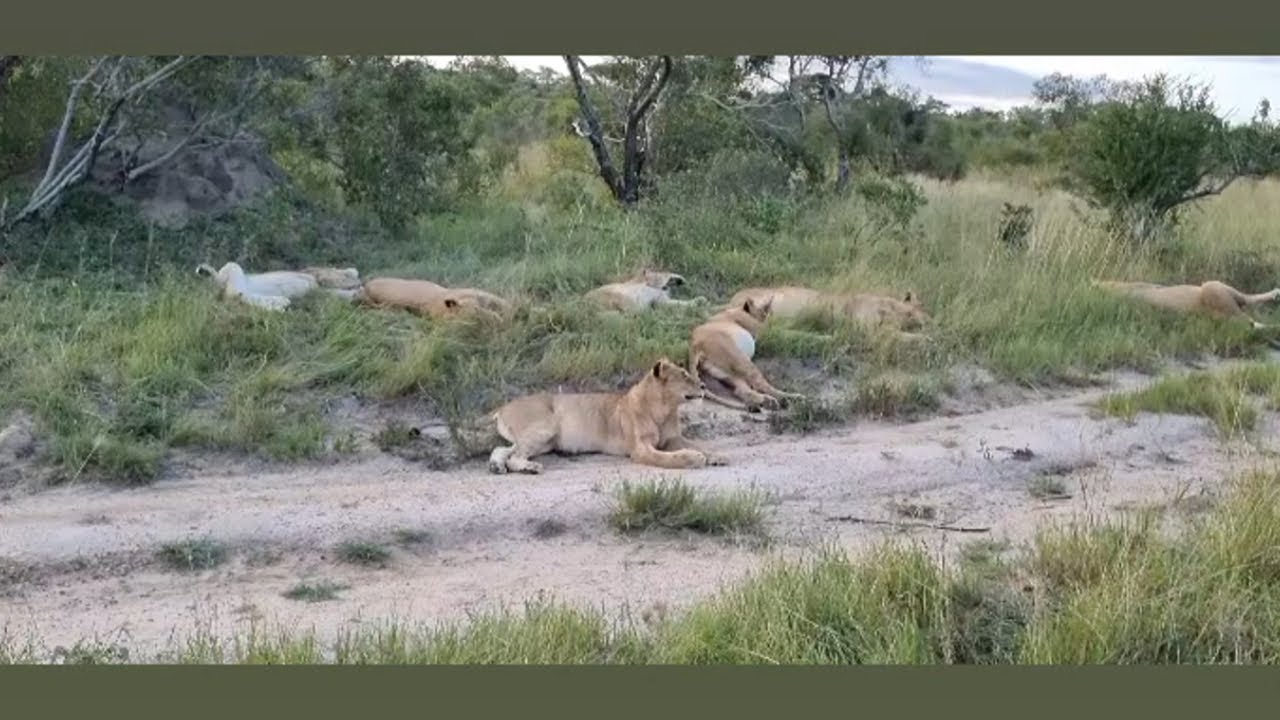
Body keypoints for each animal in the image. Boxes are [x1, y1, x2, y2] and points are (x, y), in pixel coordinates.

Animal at [487, 357, 729, 474]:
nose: (704, 386)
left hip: (546, 441)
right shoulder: (640, 449)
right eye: (685, 376)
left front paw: (716, 455)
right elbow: (669, 457)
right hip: (545, 427)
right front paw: (694, 458)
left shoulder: (673, 439)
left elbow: (696, 444)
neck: (664, 408)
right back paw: (530, 468)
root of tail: (503, 407)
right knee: (515, 455)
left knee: (503, 450)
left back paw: (497, 467)